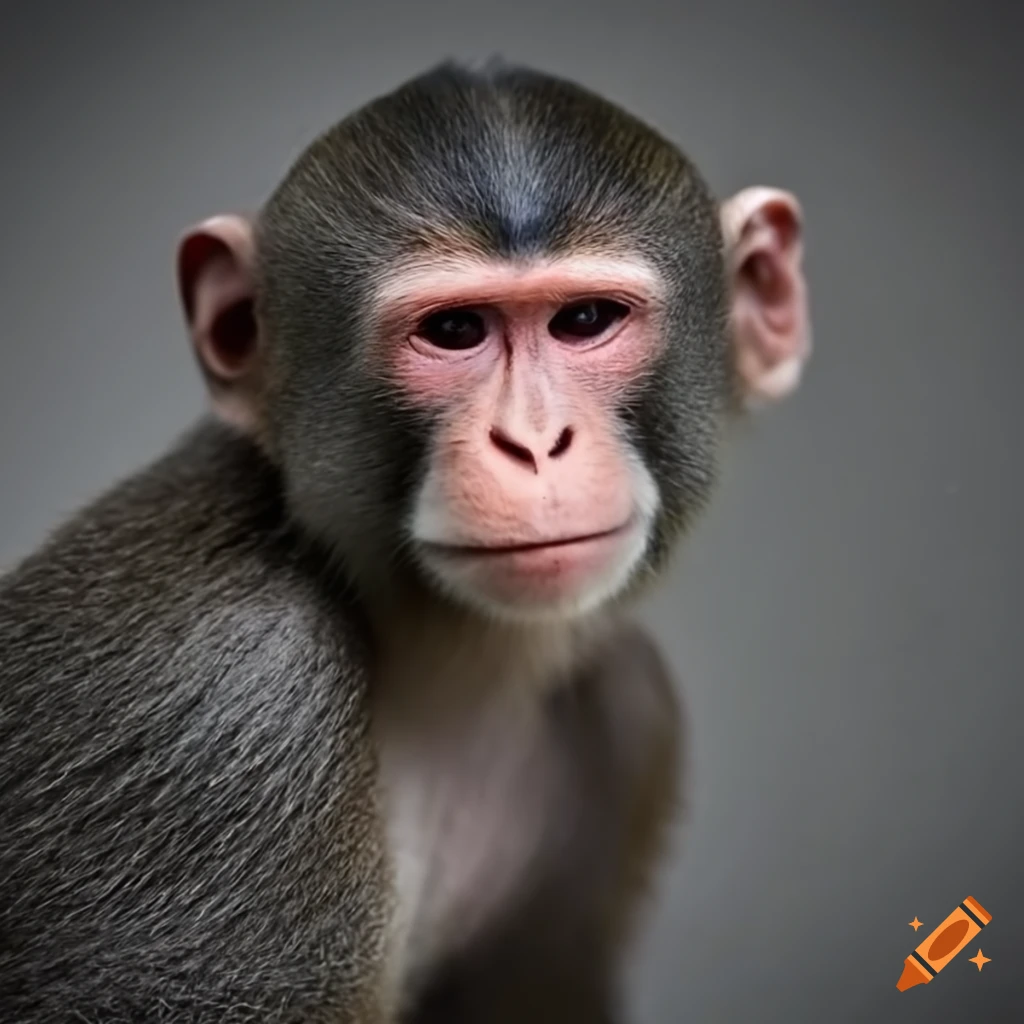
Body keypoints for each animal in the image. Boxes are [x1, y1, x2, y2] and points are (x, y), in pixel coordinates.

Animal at [0, 60, 811, 1024]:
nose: (534, 442)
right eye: (455, 332)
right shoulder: (227, 711)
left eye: (583, 320)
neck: (439, 656)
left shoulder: (629, 710)